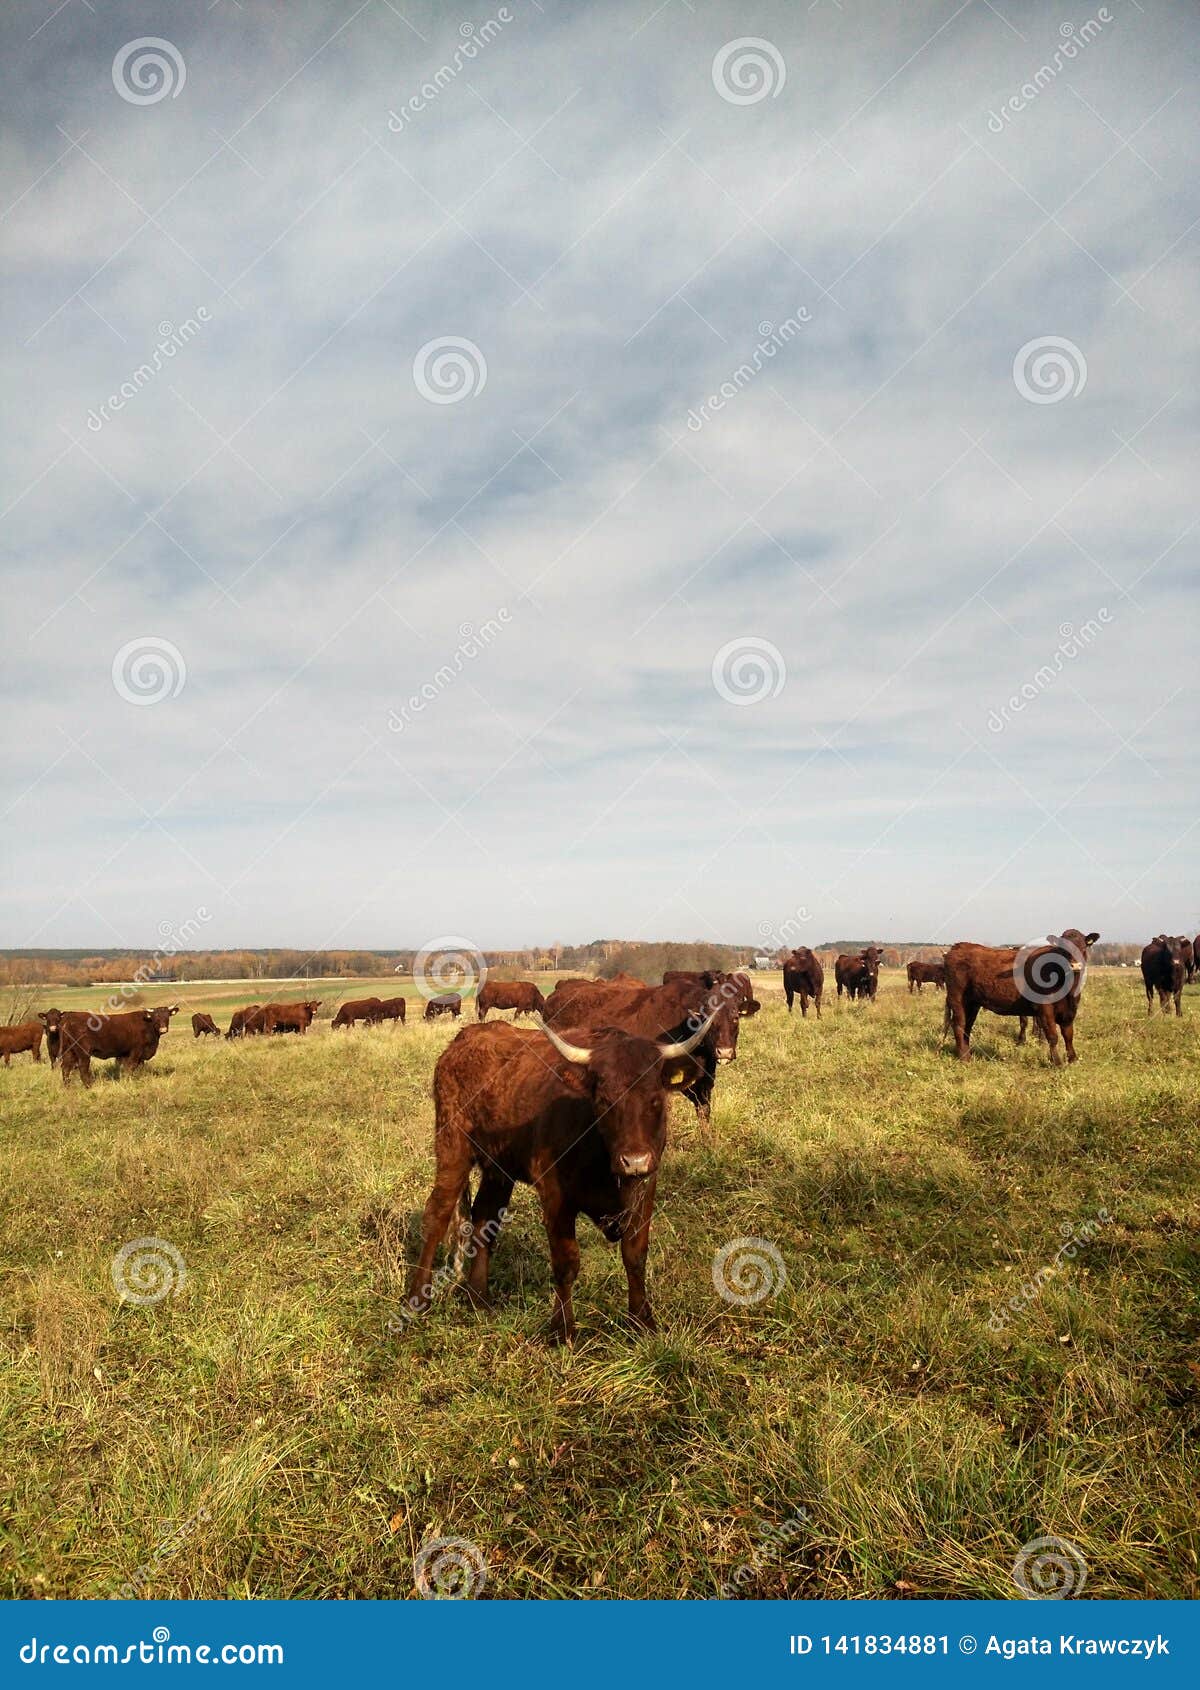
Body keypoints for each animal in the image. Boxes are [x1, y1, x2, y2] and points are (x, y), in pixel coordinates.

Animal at [404, 1010, 716, 1341]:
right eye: (604, 1101)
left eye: (656, 1099)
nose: (634, 1161)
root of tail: (463, 1039)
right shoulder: (555, 1196)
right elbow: (566, 1263)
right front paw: (562, 1330)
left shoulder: (644, 1189)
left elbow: (635, 1257)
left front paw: (642, 1323)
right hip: (452, 1147)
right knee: (437, 1216)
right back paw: (417, 1300)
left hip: (498, 1168)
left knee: (484, 1217)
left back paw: (479, 1298)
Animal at [943, 931, 1099, 1064]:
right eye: (1062, 948)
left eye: (1083, 946)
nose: (1075, 965)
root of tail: (958, 947)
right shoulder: (1045, 1008)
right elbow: (1052, 1036)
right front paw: (1057, 1062)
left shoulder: (1069, 1010)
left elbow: (1068, 1035)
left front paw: (1073, 1059)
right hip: (957, 999)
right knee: (959, 1025)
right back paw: (964, 1058)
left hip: (972, 1003)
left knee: (967, 1027)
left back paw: (967, 1054)